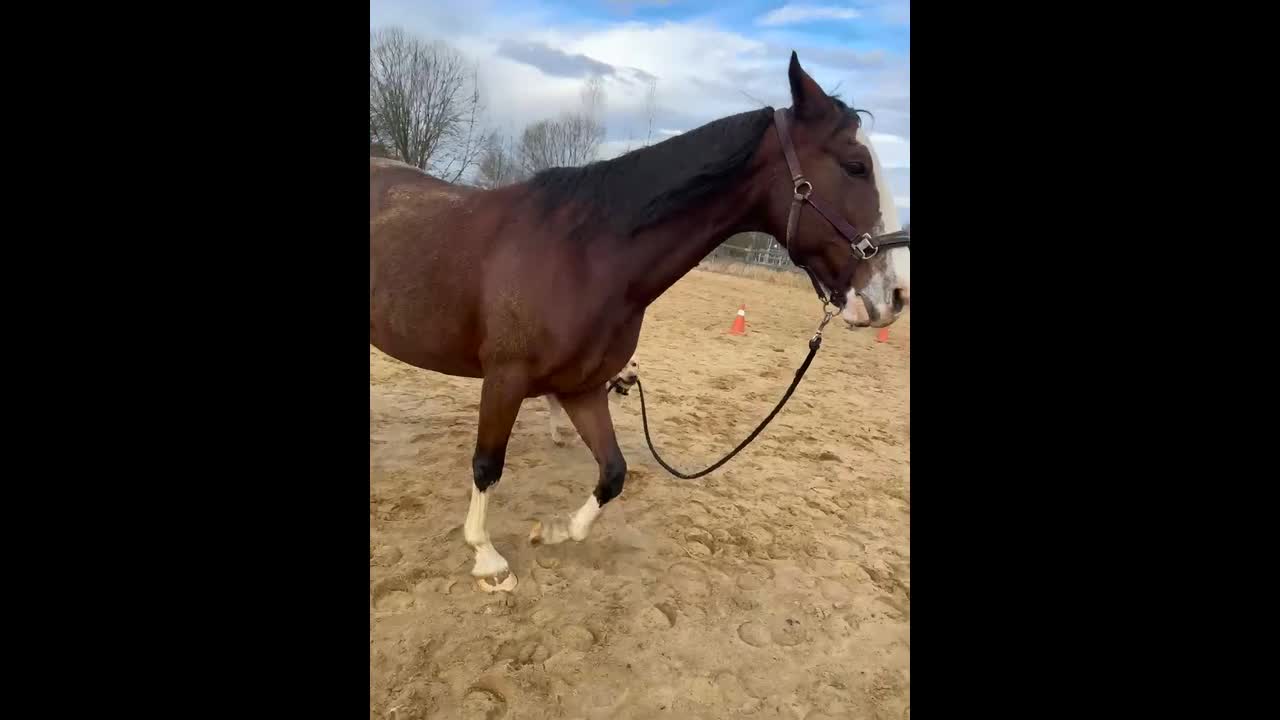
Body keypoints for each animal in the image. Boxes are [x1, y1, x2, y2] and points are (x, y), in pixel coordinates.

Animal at [370, 52, 911, 592]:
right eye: (856, 166)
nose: (895, 295)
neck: (584, 254)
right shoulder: (505, 378)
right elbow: (487, 466)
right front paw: (487, 558)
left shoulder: (582, 387)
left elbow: (613, 473)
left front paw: (552, 531)